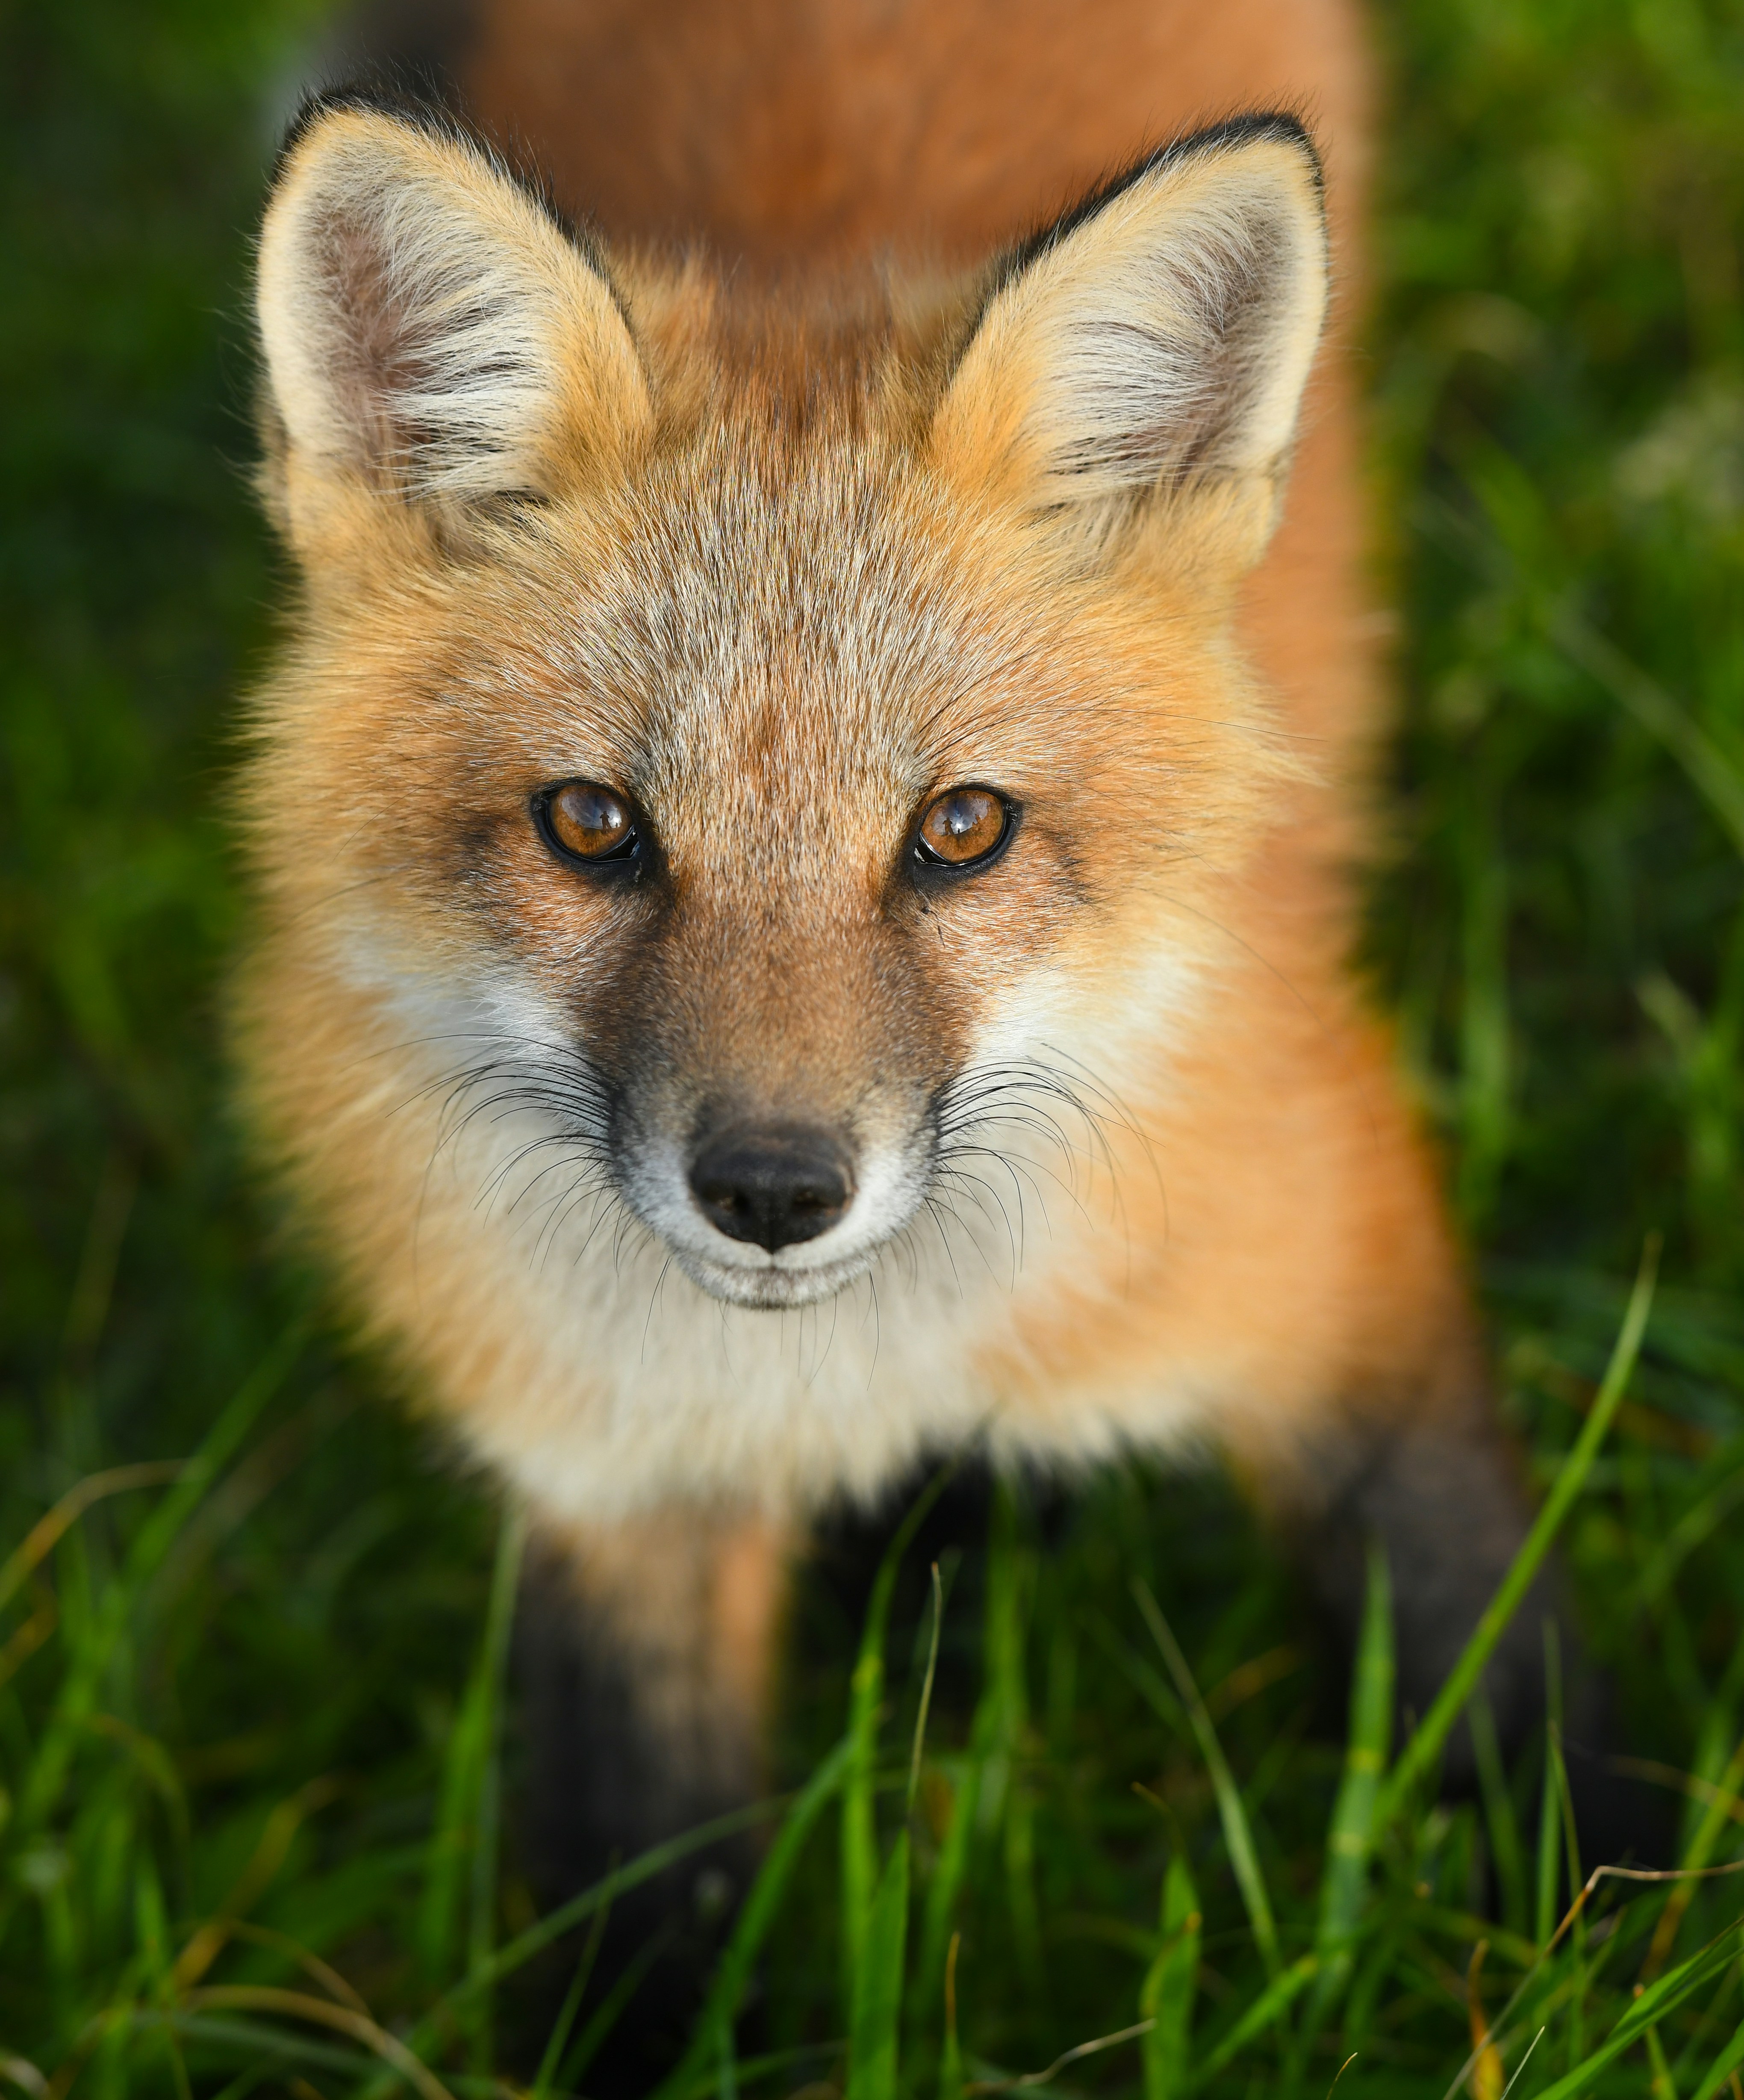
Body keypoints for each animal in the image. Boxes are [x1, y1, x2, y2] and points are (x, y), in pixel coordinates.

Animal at [240, 0, 1643, 2059]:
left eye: (959, 830)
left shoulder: (1335, 1267)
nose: (768, 1187)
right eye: (590, 826)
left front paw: (1608, 1936)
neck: (844, 1373)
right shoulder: (608, 1479)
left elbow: (1496, 1655)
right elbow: (645, 1902)